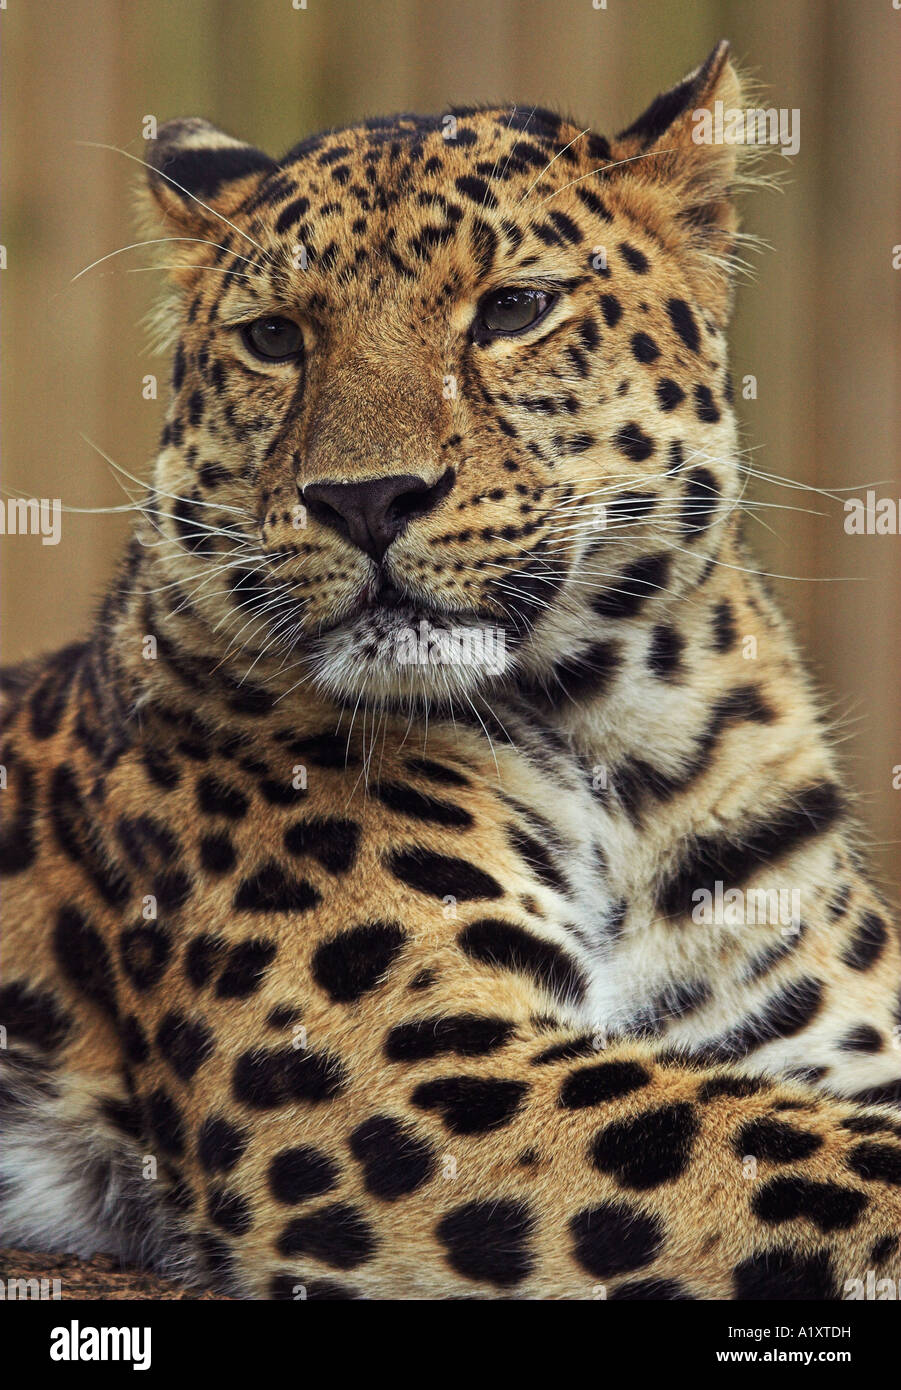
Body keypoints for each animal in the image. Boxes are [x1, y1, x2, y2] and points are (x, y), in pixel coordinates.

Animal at [2, 40, 900, 1301]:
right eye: (275, 337)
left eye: (514, 309)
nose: (365, 498)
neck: (618, 736)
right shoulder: (407, 1069)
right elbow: (822, 1159)